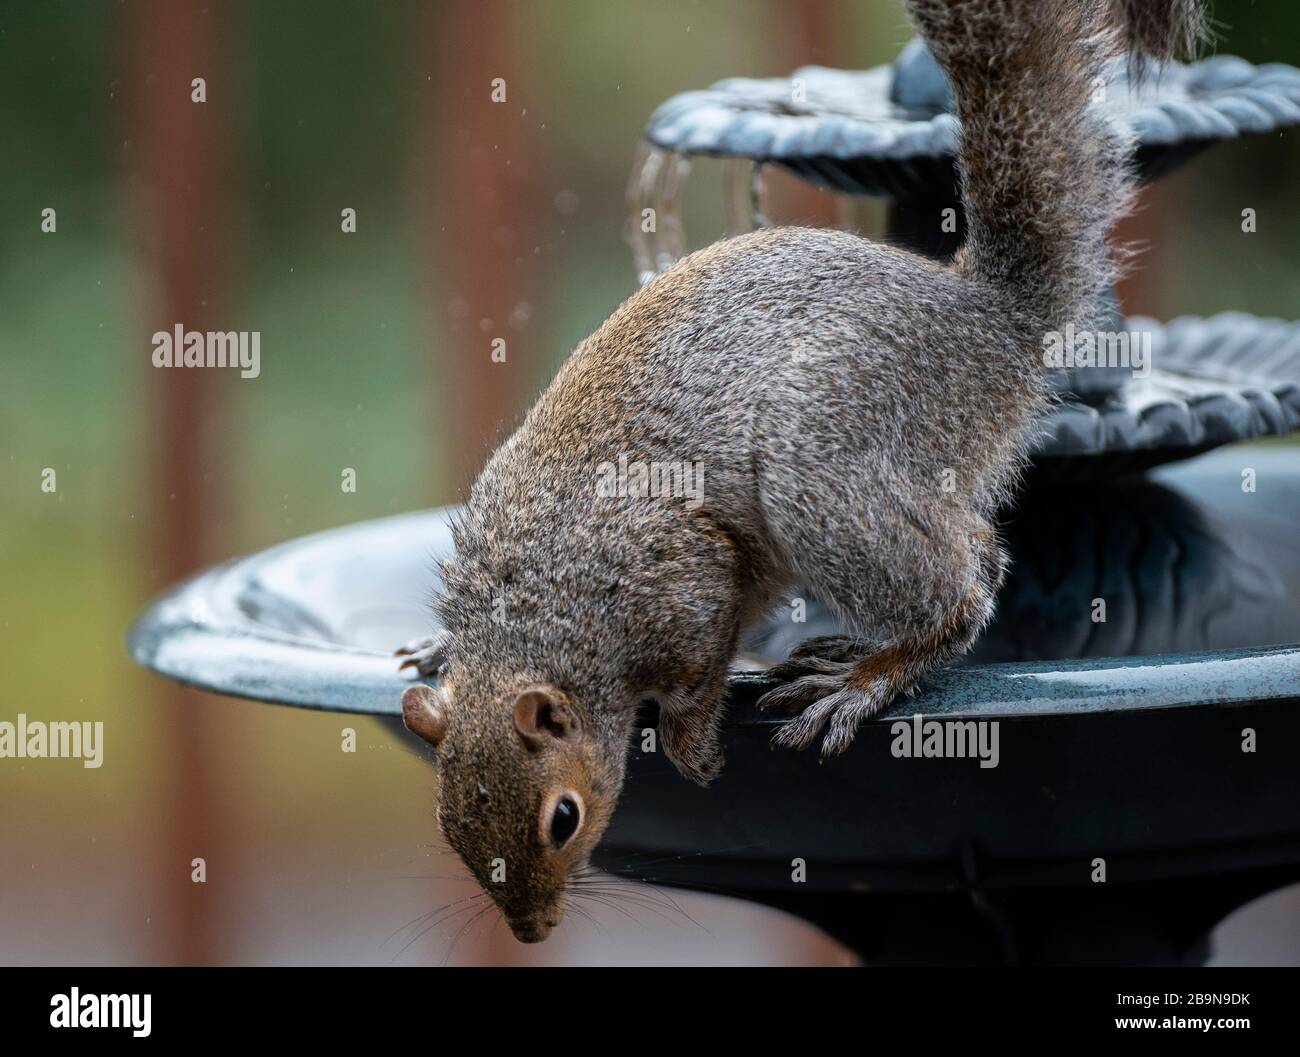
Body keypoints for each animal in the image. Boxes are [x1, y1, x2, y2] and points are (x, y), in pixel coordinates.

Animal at [396, 0, 1206, 944]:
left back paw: (866, 676)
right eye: (450, 826)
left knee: (965, 586)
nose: (530, 930)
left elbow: (697, 674)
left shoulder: (683, 578)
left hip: (824, 466)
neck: (535, 617)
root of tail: (991, 323)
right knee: (973, 543)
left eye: (563, 816)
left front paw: (693, 749)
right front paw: (433, 650)